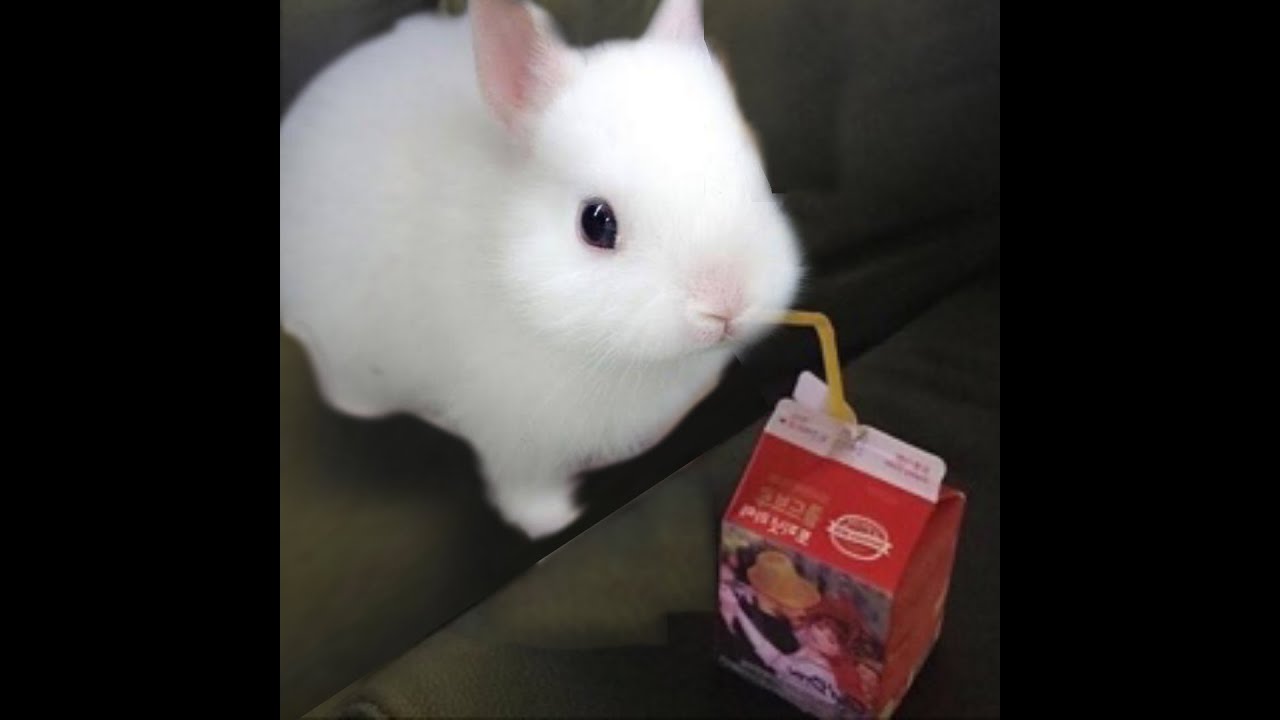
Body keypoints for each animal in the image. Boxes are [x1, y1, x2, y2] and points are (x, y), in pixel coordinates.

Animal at [280, 0, 804, 539]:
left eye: (753, 173)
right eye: (596, 222)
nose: (725, 304)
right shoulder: (512, 436)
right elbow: (523, 488)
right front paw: (550, 522)